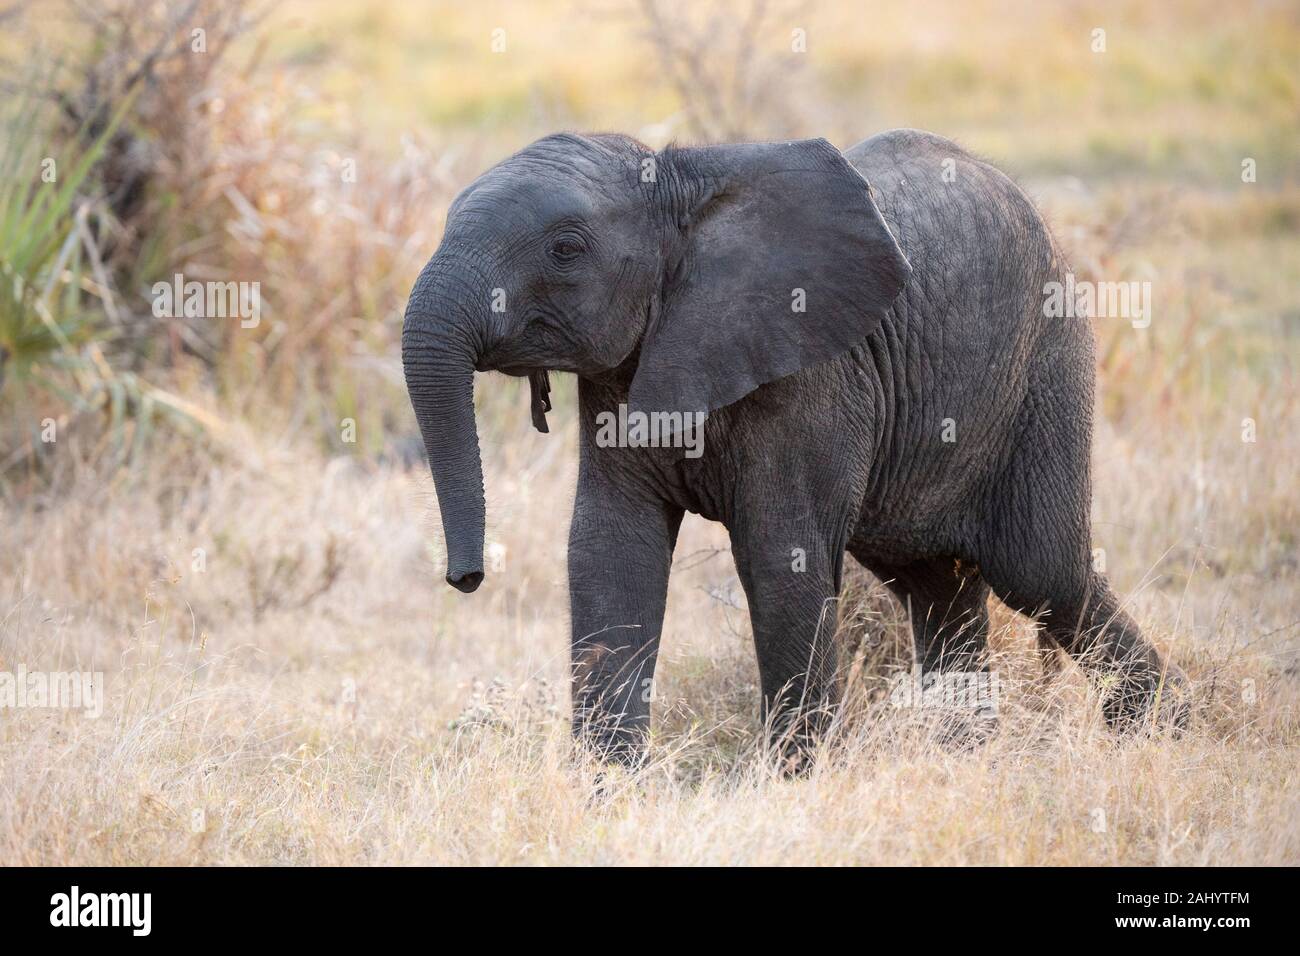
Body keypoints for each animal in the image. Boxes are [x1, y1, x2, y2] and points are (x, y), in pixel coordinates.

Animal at [401, 128, 1187, 765]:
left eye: (566, 249)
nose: (465, 578)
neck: (678, 183)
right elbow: (609, 553)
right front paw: (608, 794)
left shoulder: (813, 376)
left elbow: (782, 562)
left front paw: (792, 785)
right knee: (938, 587)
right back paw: (966, 761)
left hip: (1047, 364)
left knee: (1042, 572)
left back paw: (1159, 731)